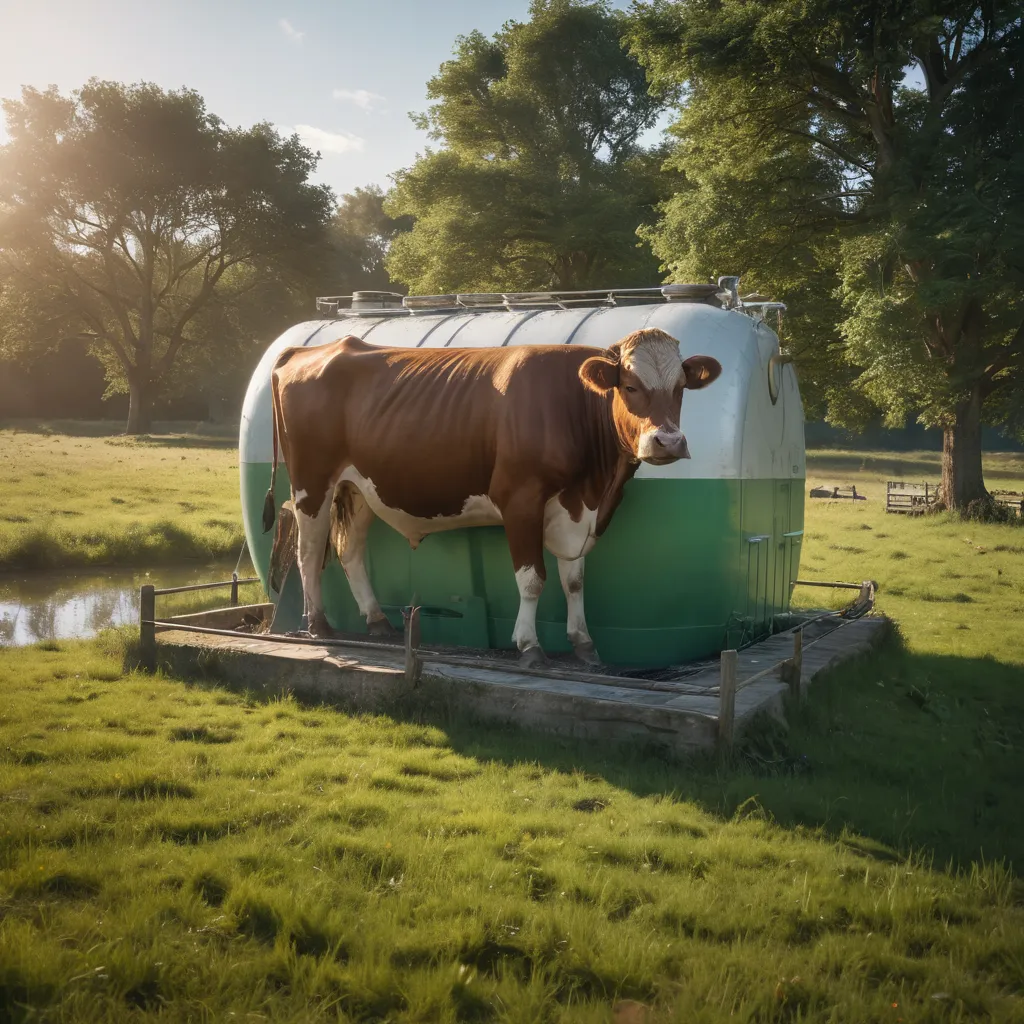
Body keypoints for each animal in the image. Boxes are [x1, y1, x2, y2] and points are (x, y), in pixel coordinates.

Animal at [262, 327, 722, 666]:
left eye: (681, 386)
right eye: (629, 385)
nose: (668, 442)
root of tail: (305, 351)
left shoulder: (576, 510)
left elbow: (573, 579)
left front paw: (583, 644)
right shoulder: (520, 499)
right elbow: (532, 579)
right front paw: (529, 646)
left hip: (358, 488)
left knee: (350, 550)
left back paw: (377, 621)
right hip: (312, 483)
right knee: (309, 551)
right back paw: (317, 624)